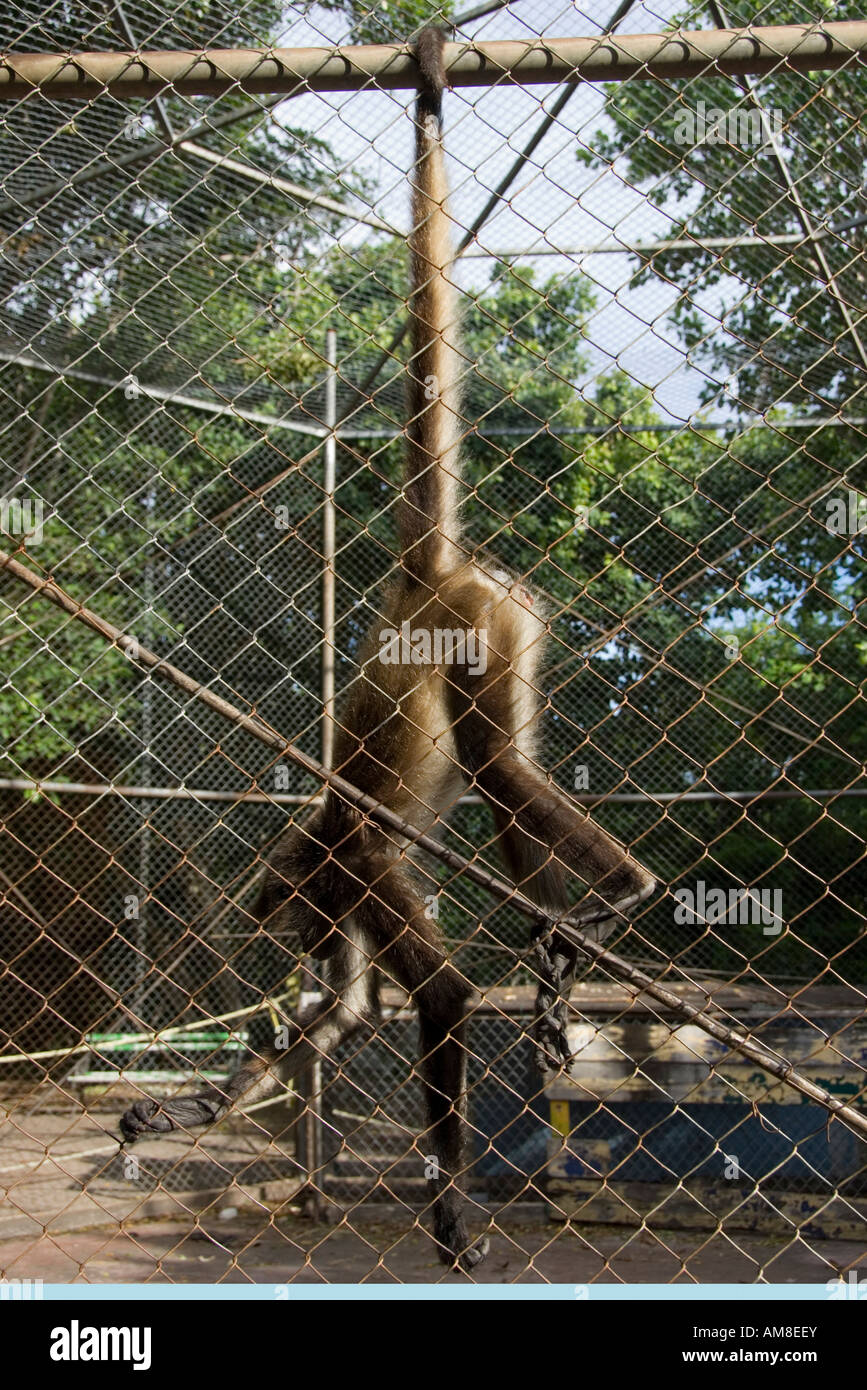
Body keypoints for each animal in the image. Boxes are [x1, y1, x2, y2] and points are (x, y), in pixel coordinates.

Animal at [119, 26, 656, 1273]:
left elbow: (443, 994)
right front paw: (189, 1104)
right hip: (513, 623)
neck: (316, 841)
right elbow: (350, 1016)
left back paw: (618, 897)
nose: (297, 940)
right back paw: (557, 948)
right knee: (505, 770)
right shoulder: (351, 883)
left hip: (479, 626)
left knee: (499, 763)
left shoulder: (356, 864)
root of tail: (421, 571)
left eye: (293, 918)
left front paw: (449, 1201)